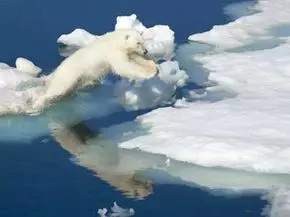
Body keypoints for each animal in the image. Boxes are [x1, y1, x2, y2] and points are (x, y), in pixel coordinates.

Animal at [32, 29, 160, 112]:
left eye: (143, 42)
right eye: (138, 43)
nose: (146, 51)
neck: (115, 40)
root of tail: (57, 70)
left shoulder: (125, 51)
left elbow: (135, 58)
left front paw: (153, 67)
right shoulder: (113, 52)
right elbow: (124, 67)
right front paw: (149, 73)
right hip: (69, 75)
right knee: (57, 89)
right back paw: (37, 105)